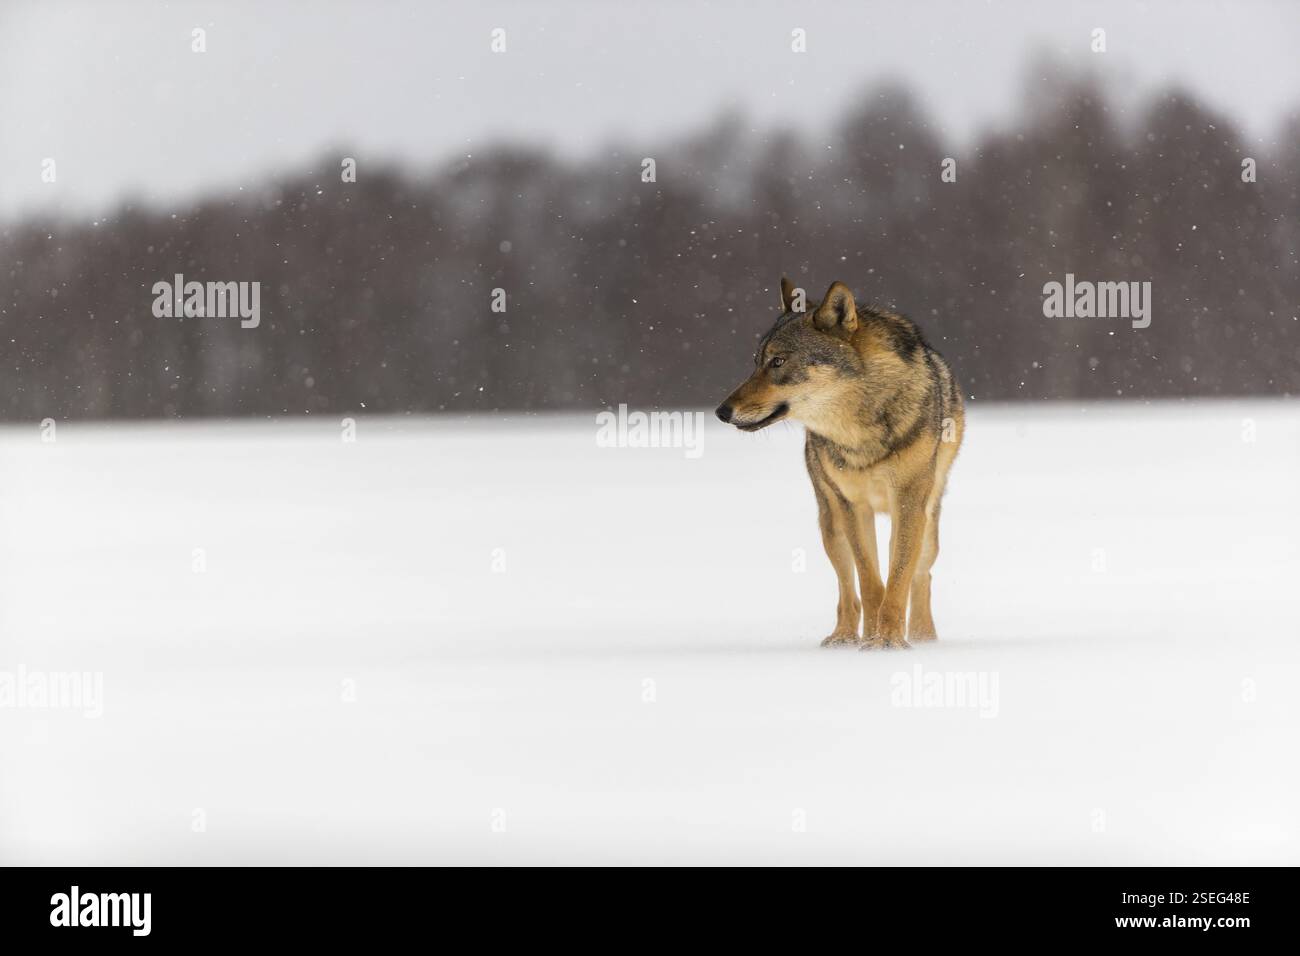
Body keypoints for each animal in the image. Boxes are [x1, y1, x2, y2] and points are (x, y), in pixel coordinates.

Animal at [716, 278, 964, 649]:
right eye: (757, 362)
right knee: (848, 589)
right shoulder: (852, 506)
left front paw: (890, 641)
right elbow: (870, 583)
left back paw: (923, 637)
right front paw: (873, 640)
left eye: (778, 361)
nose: (721, 411)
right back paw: (844, 637)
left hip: (927, 525)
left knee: (921, 575)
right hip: (830, 523)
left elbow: (898, 580)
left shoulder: (908, 503)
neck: (860, 430)